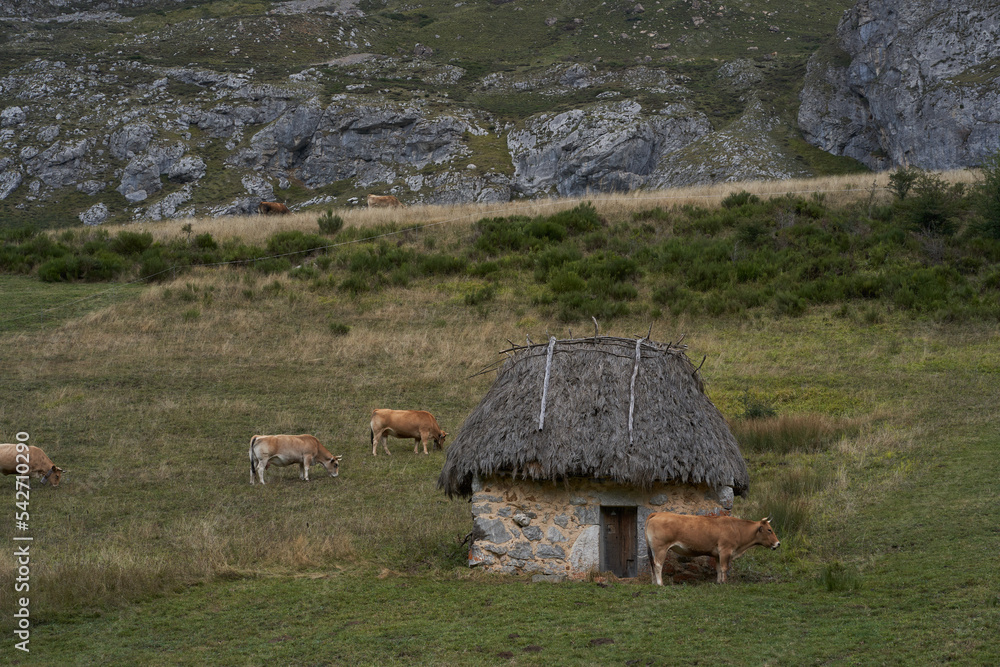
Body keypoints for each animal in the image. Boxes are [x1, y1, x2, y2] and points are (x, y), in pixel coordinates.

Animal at [644, 512, 780, 585]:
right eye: (769, 530)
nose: (778, 543)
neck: (736, 528)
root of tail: (658, 513)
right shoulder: (725, 550)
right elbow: (724, 568)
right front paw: (724, 582)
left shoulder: (718, 554)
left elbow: (719, 568)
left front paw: (719, 582)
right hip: (661, 548)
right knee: (658, 565)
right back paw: (660, 583)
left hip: (654, 550)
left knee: (652, 565)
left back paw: (654, 583)